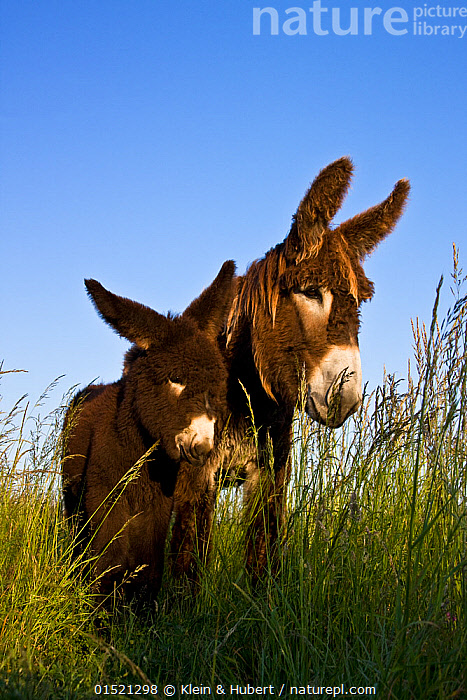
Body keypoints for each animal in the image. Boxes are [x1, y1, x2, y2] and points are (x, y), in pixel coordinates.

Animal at [62, 260, 235, 603]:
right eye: (174, 378)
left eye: (219, 385)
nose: (203, 447)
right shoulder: (104, 496)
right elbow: (109, 560)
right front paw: (100, 611)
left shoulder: (158, 506)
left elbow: (149, 565)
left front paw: (141, 609)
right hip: (72, 494)